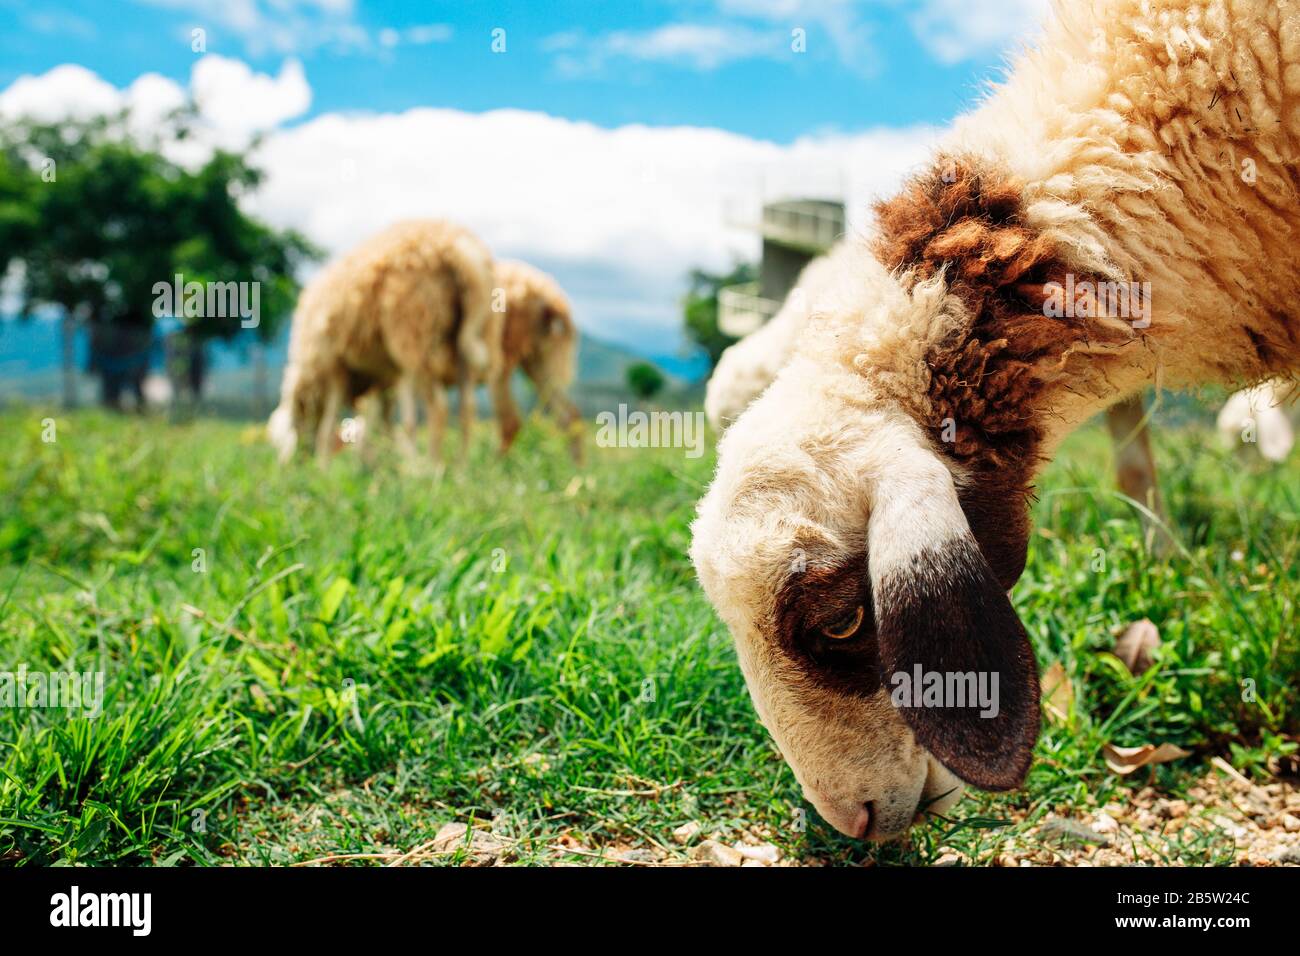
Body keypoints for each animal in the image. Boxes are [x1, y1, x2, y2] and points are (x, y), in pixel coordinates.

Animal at [267, 219, 494, 464]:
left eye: (287, 429)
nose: (286, 465)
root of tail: (461, 249)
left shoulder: (334, 366)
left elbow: (328, 428)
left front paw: (323, 467)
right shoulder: (383, 378)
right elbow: (380, 426)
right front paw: (374, 465)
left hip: (414, 336)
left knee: (438, 409)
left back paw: (433, 467)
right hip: (462, 344)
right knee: (467, 408)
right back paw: (460, 467)